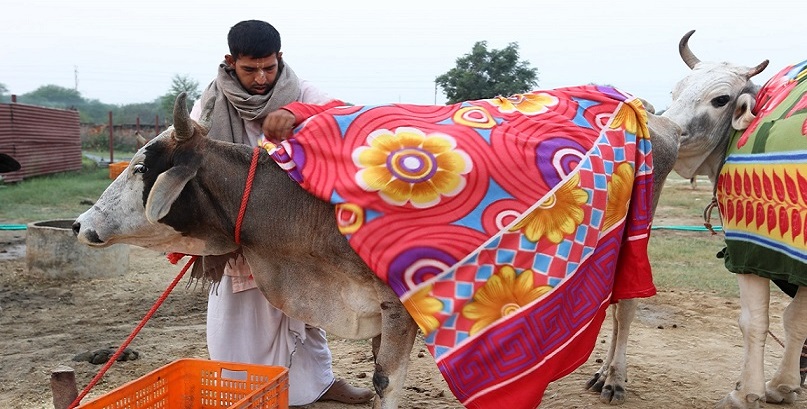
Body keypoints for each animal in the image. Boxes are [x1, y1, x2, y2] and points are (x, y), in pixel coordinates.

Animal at [73, 85, 680, 408]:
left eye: (141, 164)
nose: (80, 225)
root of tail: (643, 107)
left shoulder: (400, 306)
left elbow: (388, 382)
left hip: (637, 228)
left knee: (626, 304)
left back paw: (613, 377)